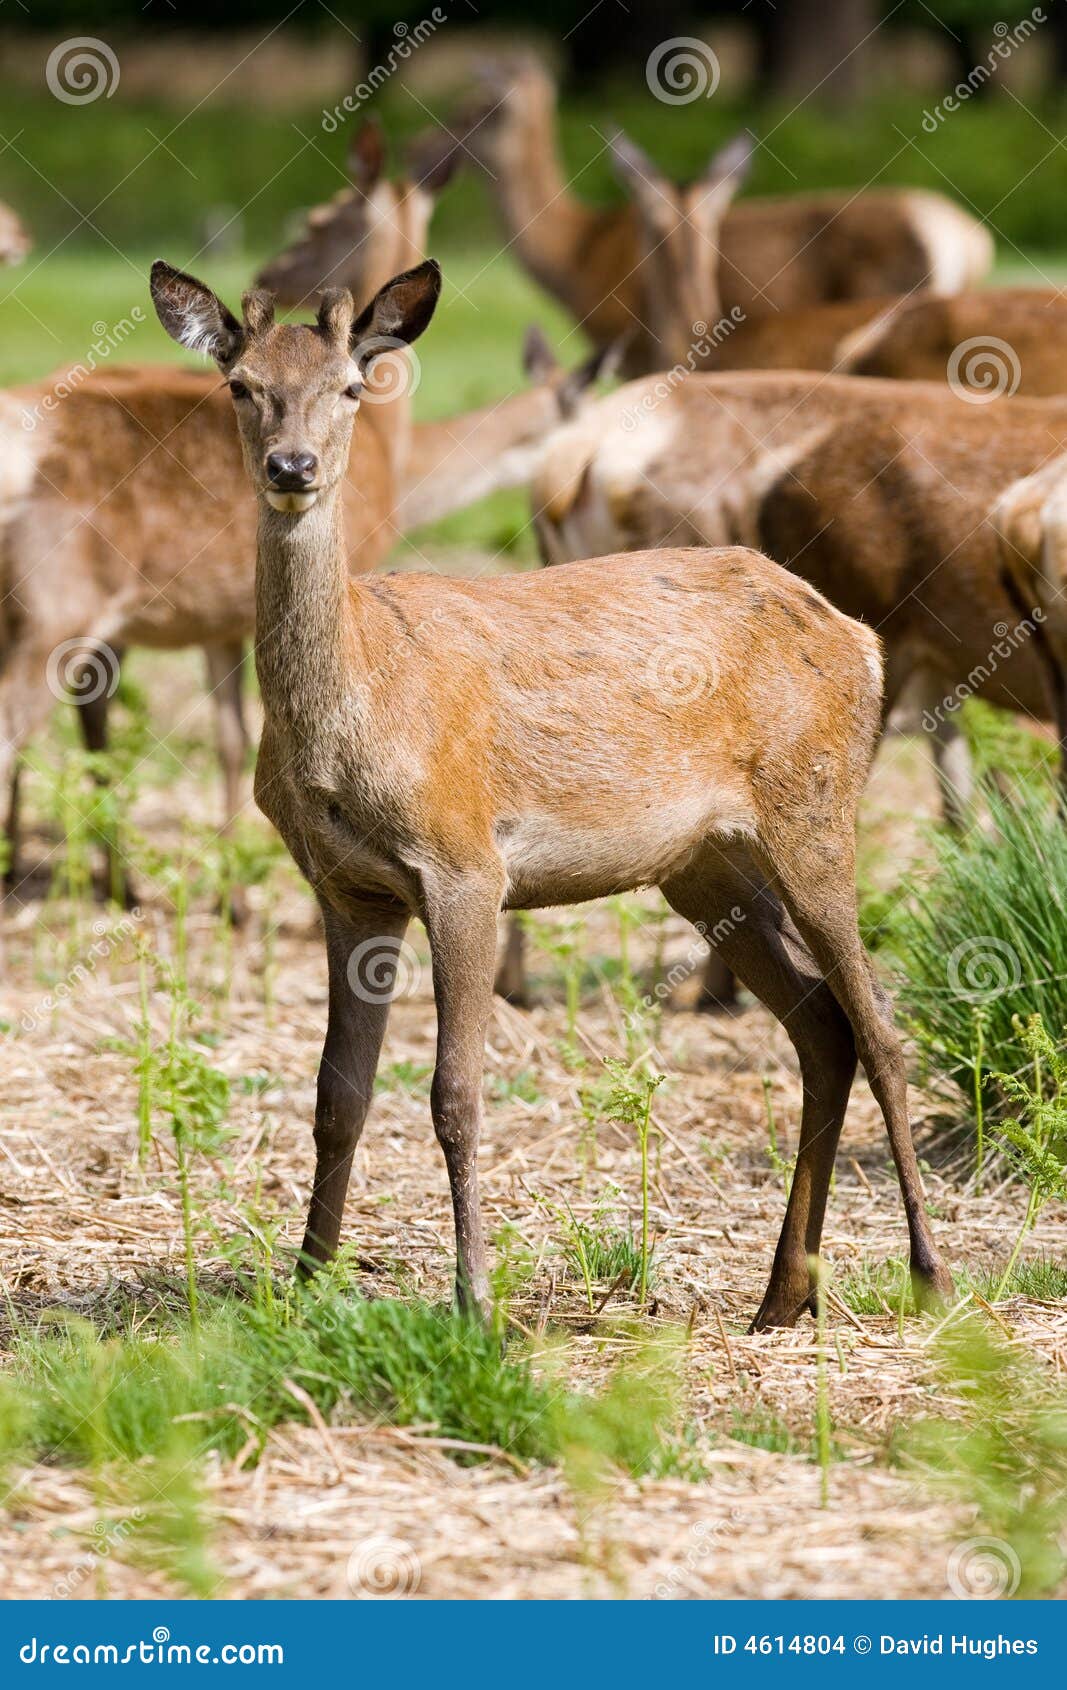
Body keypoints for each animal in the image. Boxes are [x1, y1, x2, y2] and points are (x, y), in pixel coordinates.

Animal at [148, 253, 954, 1333]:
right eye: (240, 386)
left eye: (352, 387)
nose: (291, 468)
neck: (356, 706)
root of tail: (857, 637)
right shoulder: (346, 887)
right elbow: (334, 1095)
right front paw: (307, 1286)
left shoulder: (463, 862)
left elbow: (453, 1093)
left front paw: (472, 1300)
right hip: (701, 864)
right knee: (821, 1026)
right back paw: (782, 1296)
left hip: (814, 807)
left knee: (880, 1029)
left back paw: (925, 1274)